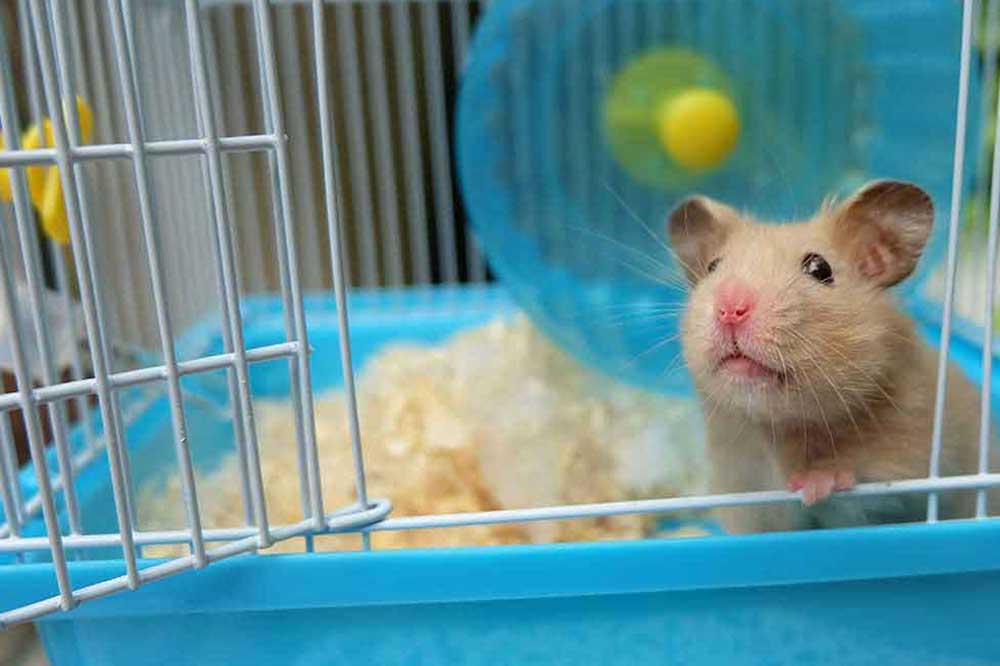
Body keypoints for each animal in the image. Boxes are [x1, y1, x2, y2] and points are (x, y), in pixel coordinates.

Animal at [668, 180, 991, 533]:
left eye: (819, 268)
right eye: (713, 267)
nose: (730, 309)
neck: (778, 431)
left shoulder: (909, 468)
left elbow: (864, 484)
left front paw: (814, 484)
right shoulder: (746, 497)